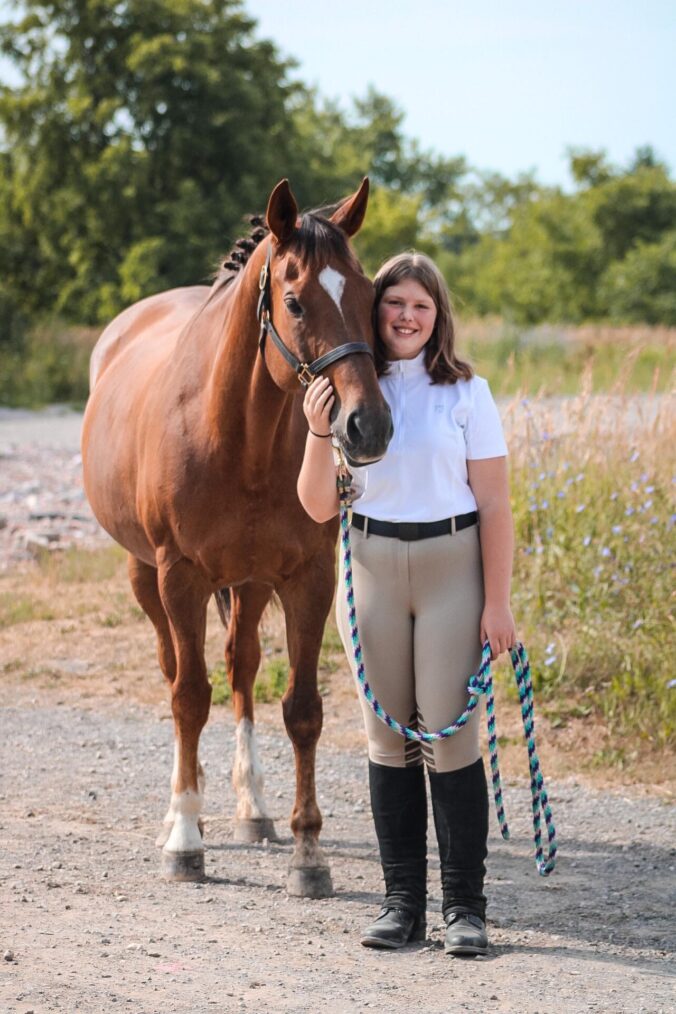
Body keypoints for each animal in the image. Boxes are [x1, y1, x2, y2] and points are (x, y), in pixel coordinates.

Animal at [81, 178, 393, 897]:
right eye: (295, 301)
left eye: (369, 295)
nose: (368, 426)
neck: (234, 434)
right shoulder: (180, 576)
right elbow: (189, 698)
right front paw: (185, 841)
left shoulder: (307, 578)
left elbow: (301, 708)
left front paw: (309, 854)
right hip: (147, 575)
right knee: (178, 673)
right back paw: (183, 806)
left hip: (250, 583)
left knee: (241, 666)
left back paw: (253, 809)